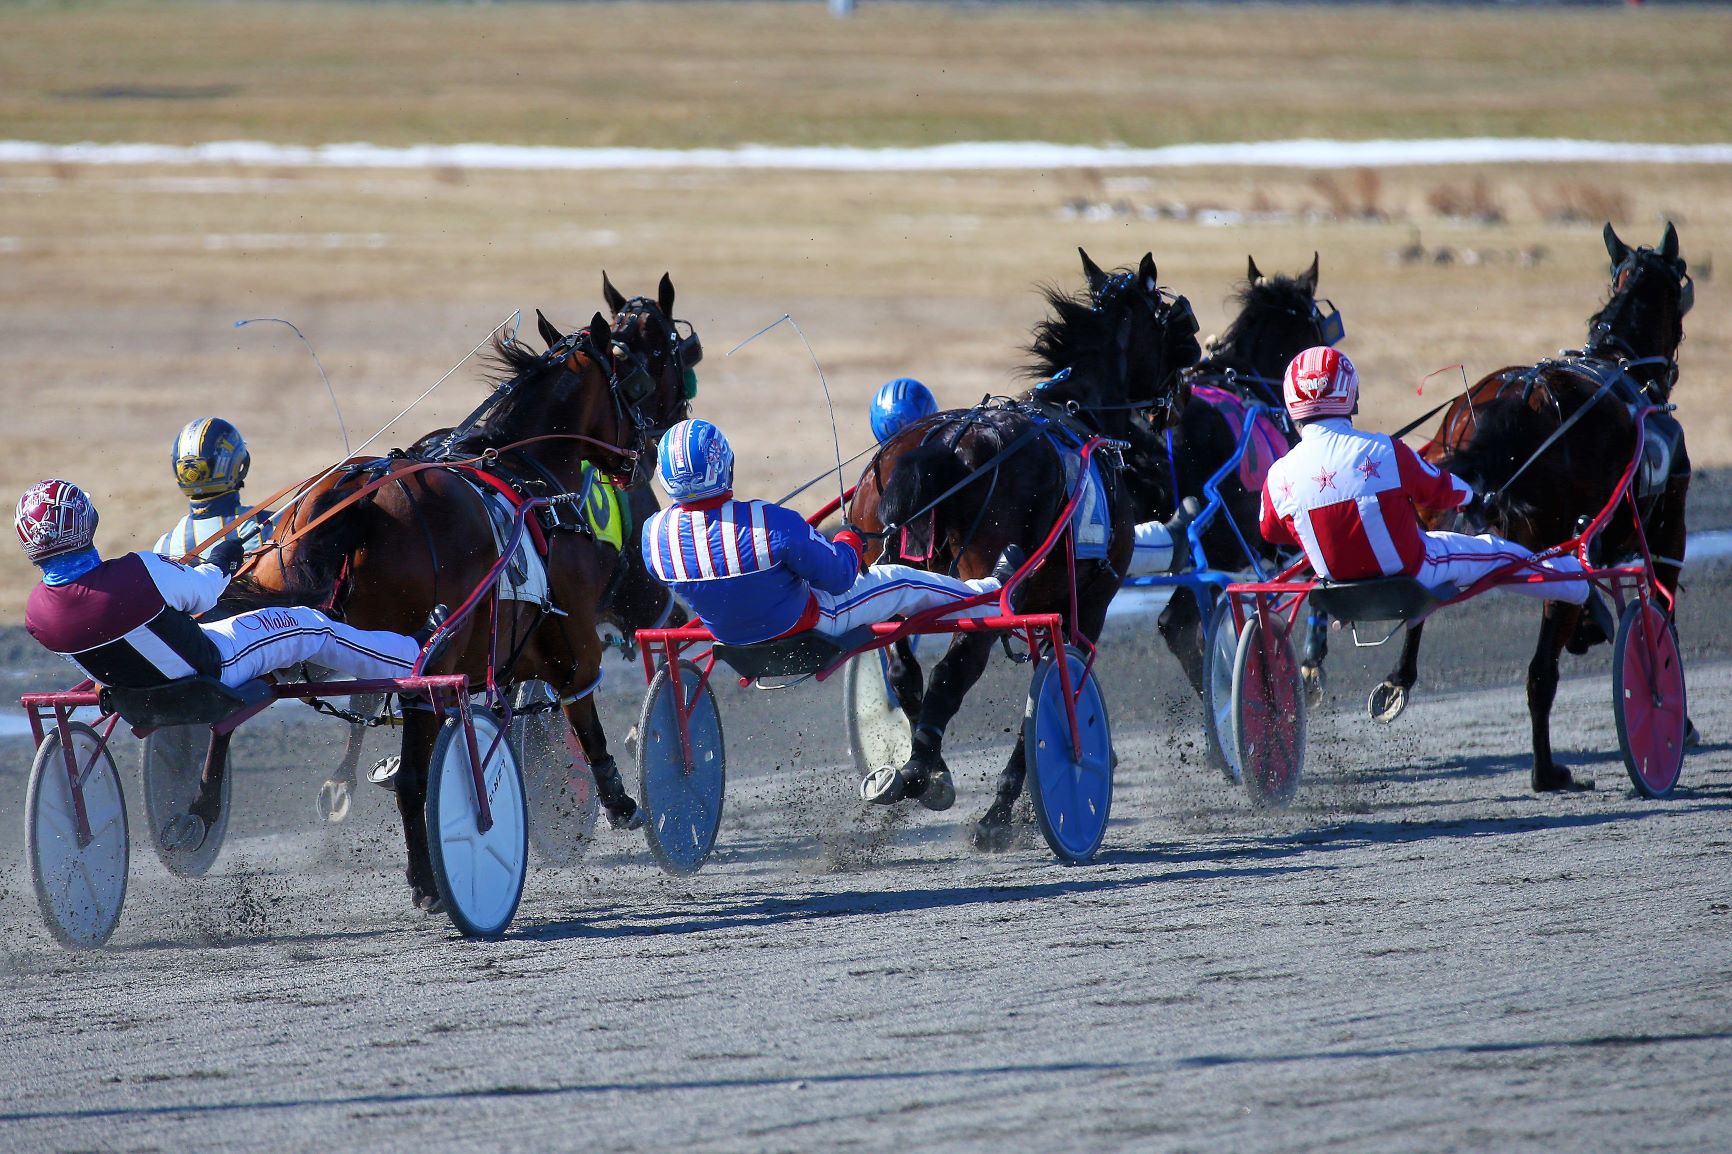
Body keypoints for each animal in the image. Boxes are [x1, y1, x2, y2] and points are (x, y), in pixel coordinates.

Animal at [209, 281, 694, 911]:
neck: (528, 471)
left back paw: (198, 807)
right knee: (413, 778)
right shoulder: (572, 628)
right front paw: (617, 799)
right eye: (638, 371)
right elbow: (581, 709)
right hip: (428, 662)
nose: (656, 440)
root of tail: (358, 496)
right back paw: (425, 878)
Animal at [845, 249, 1202, 849]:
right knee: (956, 668)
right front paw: (1007, 807)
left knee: (903, 668)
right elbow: (1060, 684)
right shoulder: (1090, 601)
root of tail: (944, 442)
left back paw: (928, 770)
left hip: (888, 561)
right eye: (1174, 322)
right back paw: (920, 771)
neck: (1078, 412)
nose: (1189, 382)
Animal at [1371, 222, 1693, 792]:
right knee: (1540, 674)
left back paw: (1399, 680)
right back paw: (1547, 771)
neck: (1622, 369)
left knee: (1421, 596)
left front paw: (1592, 625)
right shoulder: (1667, 527)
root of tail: (1516, 398)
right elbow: (1661, 616)